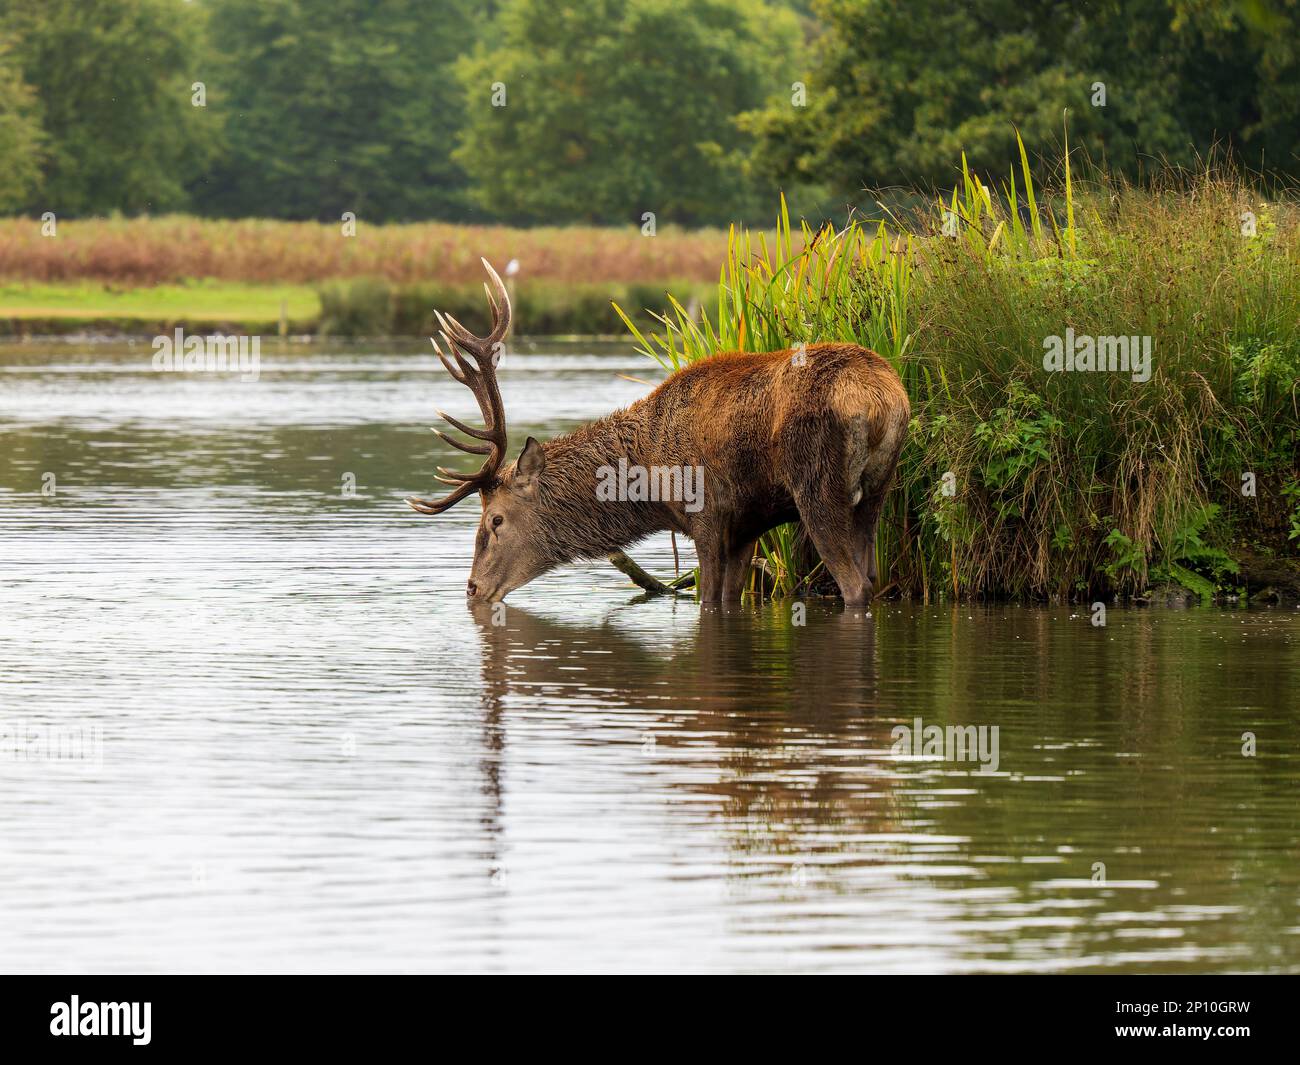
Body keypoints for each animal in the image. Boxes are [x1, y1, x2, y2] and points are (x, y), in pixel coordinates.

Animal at [406, 259, 910, 607]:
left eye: (495, 520)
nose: (473, 588)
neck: (650, 481)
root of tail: (883, 400)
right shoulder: (748, 525)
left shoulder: (707, 512)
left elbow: (709, 601)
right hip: (878, 491)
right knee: (871, 577)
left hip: (817, 486)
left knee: (855, 586)